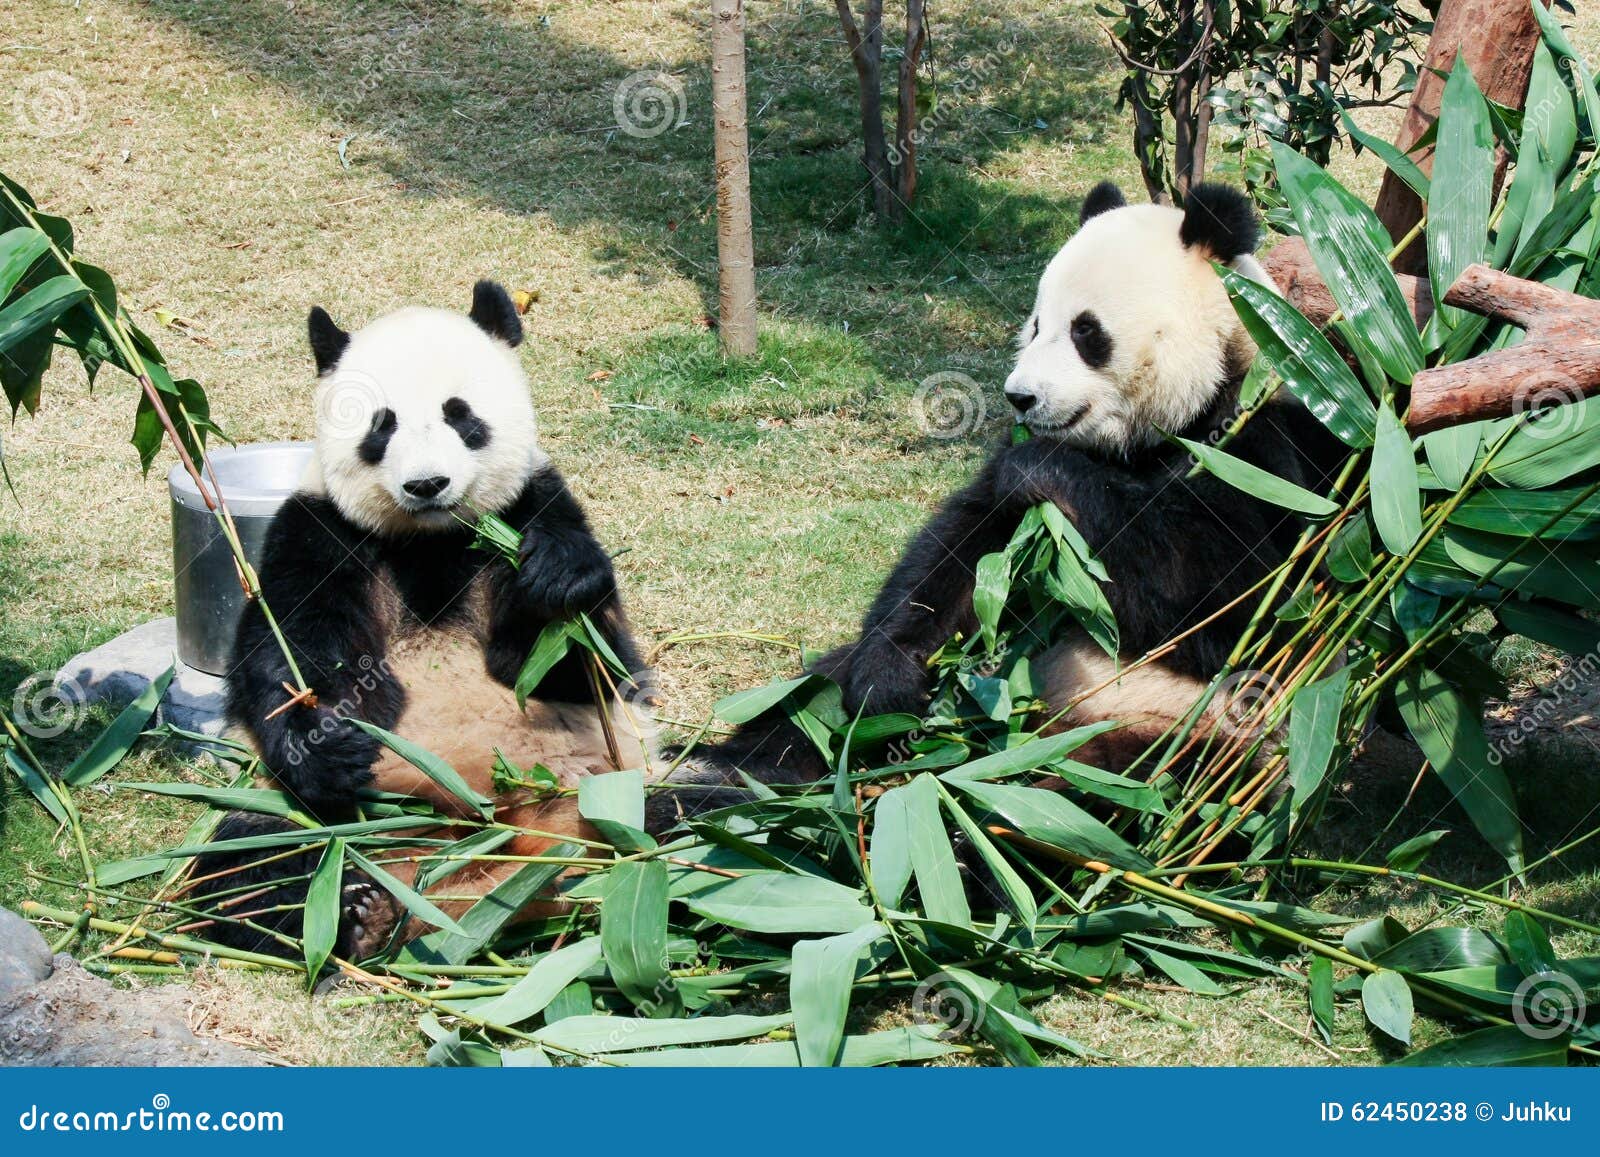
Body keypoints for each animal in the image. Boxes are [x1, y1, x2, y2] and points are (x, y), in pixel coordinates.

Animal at [194, 282, 655, 958]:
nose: (427, 483)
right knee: (250, 869)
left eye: (461, 415)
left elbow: (584, 668)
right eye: (380, 424)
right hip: (278, 812)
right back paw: (362, 917)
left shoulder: (532, 504)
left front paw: (557, 580)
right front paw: (333, 744)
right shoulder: (321, 533)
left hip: (609, 794)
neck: (430, 542)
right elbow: (287, 654)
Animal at [657, 182, 1344, 807]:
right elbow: (963, 553)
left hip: (1173, 742)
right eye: (1036, 324)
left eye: (1087, 332)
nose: (1021, 397)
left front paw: (1040, 467)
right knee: (809, 703)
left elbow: (1240, 601)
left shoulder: (1273, 448)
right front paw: (892, 683)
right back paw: (726, 774)